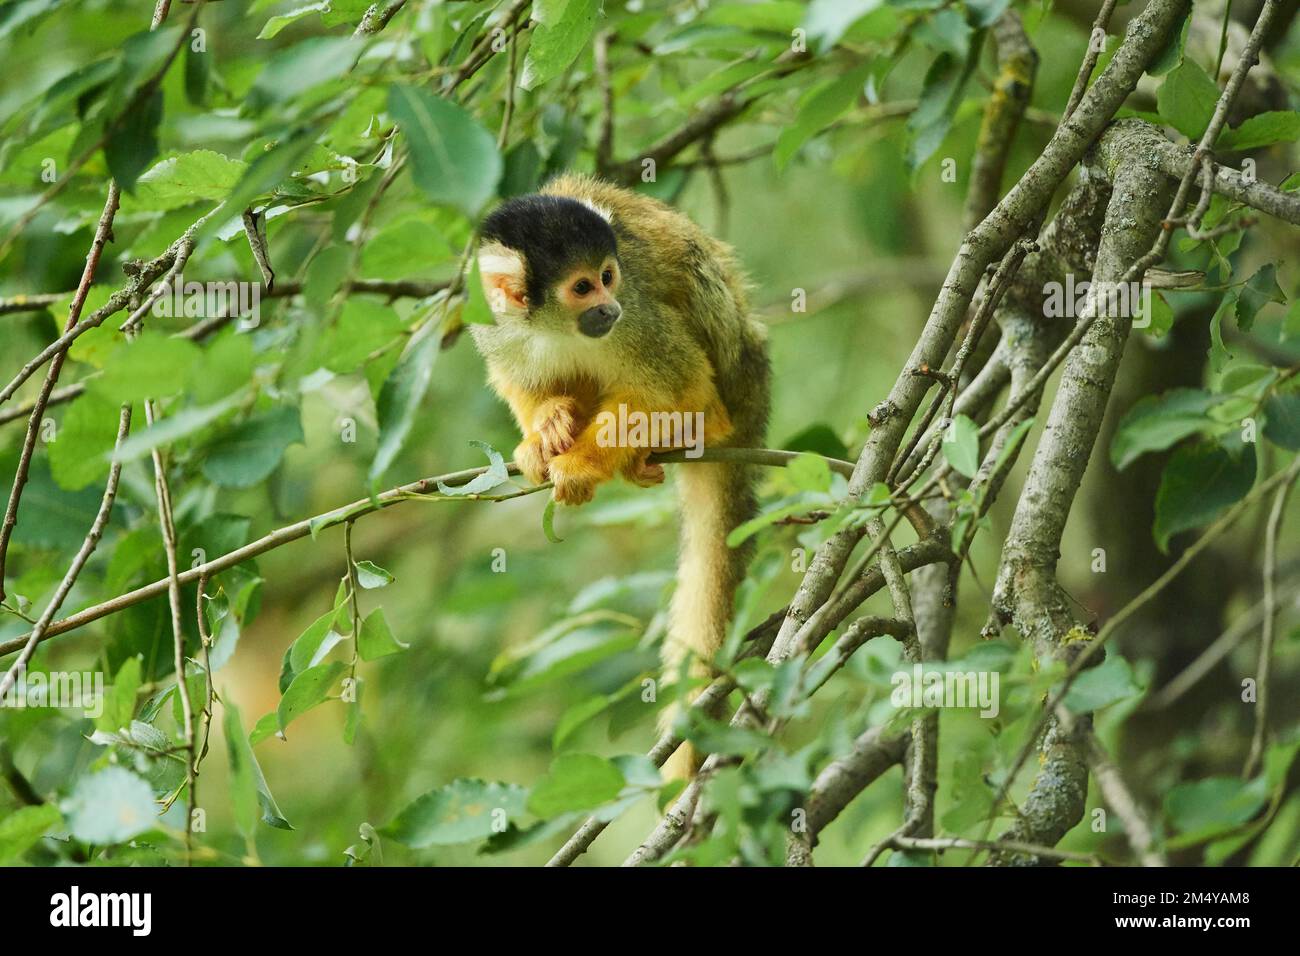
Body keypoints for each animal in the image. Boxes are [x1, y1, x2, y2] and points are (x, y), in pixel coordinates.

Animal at [471, 174, 770, 778]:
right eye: (582, 286)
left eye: (608, 277)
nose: (607, 306)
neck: (553, 328)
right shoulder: (495, 326)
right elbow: (521, 384)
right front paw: (545, 429)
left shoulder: (638, 319)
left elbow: (670, 383)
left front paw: (579, 463)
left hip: (739, 365)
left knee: (699, 294)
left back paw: (697, 425)